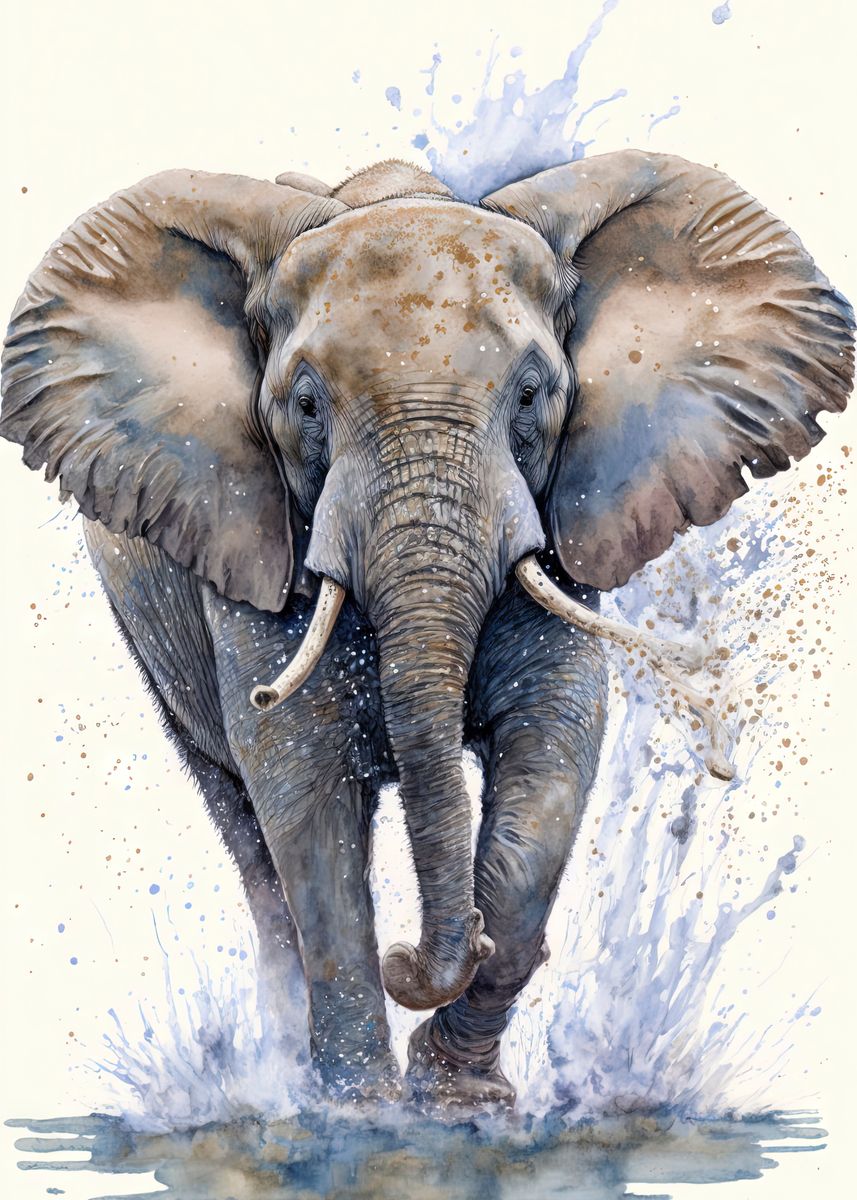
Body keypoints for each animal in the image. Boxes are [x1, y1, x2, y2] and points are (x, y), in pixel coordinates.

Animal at [1, 151, 852, 1108]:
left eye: (532, 393)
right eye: (305, 405)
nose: (414, 957)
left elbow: (553, 753)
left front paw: (458, 1100)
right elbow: (303, 792)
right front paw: (361, 1112)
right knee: (246, 827)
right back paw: (288, 1072)